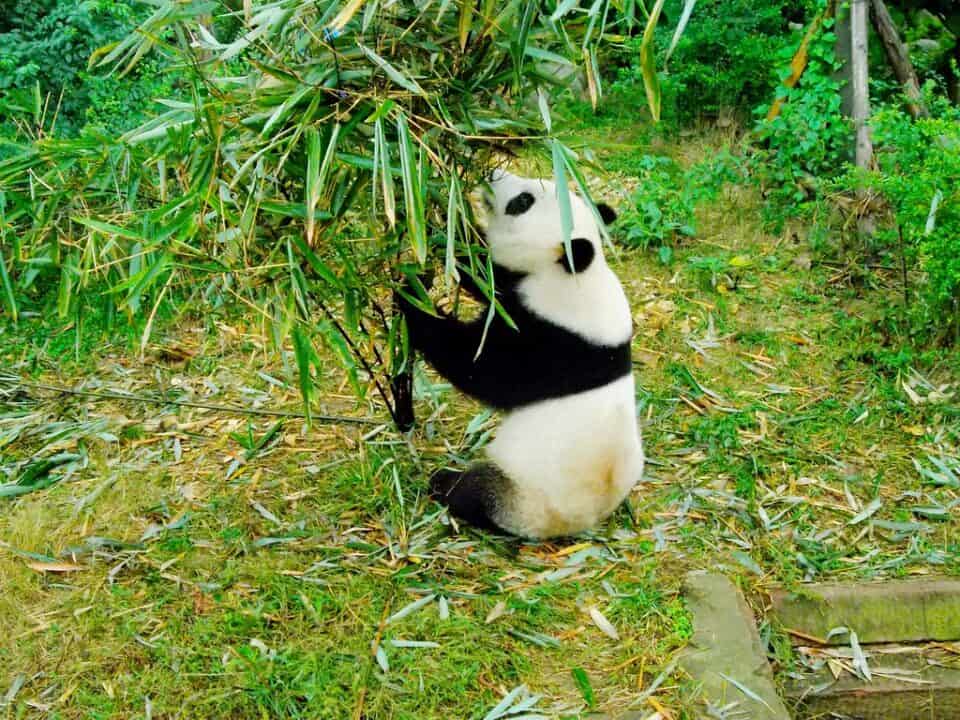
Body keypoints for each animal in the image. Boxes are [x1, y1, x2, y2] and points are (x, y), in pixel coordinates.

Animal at [400, 170, 643, 539]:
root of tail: (578, 526)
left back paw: (445, 482)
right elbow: (485, 274)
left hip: (523, 493)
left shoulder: (555, 338)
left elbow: (484, 369)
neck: (576, 277)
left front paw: (410, 297)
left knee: (479, 491)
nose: (492, 174)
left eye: (523, 202)